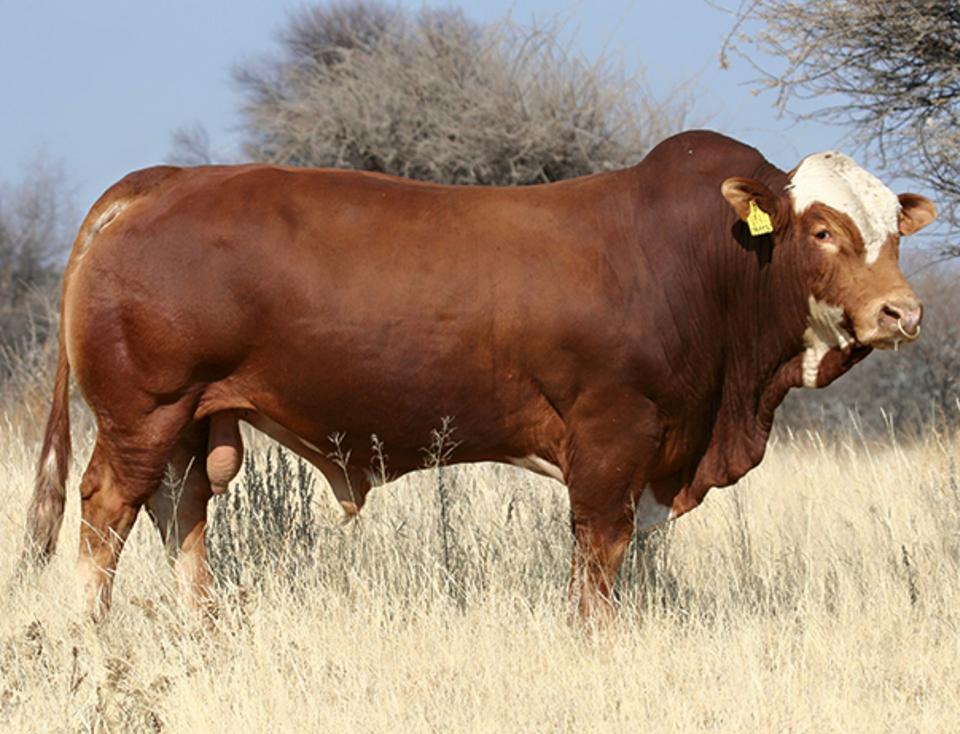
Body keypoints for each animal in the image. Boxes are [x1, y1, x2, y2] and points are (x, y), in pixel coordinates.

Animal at [19, 130, 935, 620]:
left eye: (895, 230)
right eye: (820, 229)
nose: (901, 313)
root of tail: (157, 183)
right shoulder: (612, 439)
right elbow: (598, 558)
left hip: (194, 423)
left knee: (182, 512)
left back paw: (207, 629)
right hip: (144, 412)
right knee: (105, 513)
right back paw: (95, 635)